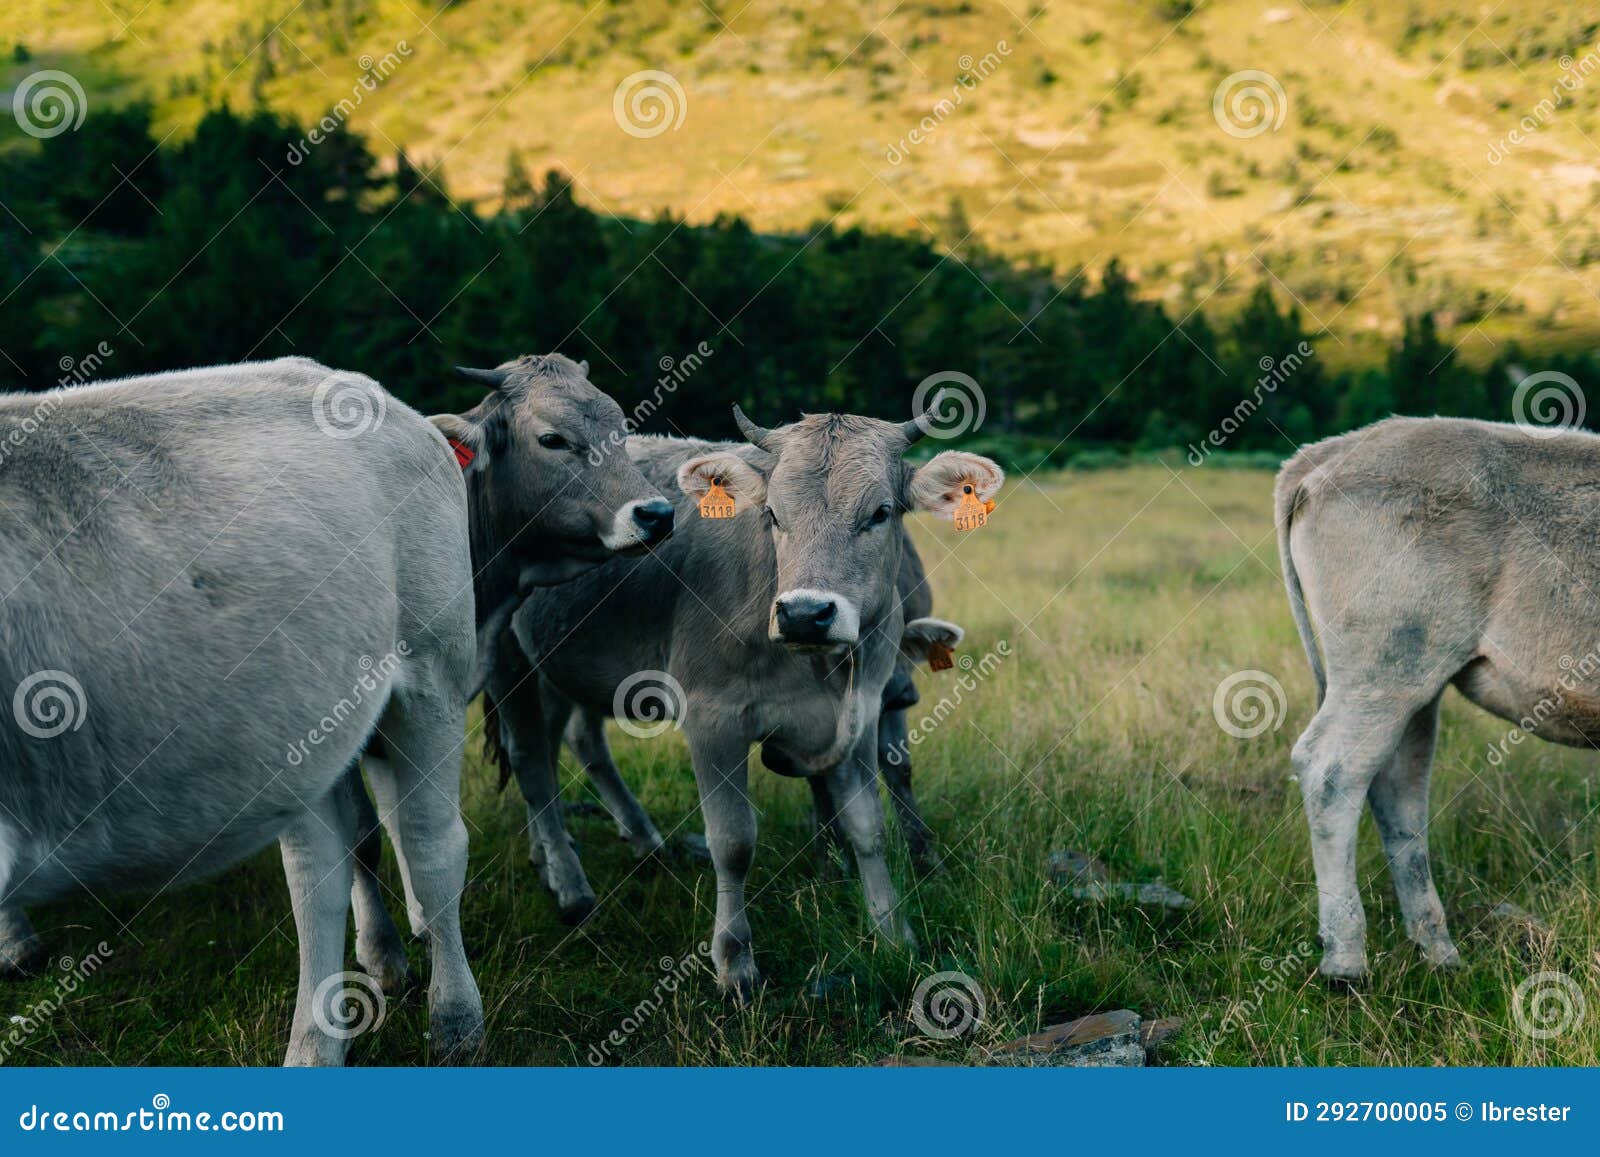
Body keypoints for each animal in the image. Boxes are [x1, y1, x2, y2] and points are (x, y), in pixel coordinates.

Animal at [482, 404, 1003, 994]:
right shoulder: (714, 720)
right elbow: (733, 842)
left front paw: (894, 933)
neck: (815, 662)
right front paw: (735, 962)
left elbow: (868, 826)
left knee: (570, 741)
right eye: (773, 514)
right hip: (506, 658)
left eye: (881, 512)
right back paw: (570, 887)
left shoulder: (861, 716)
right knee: (530, 760)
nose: (805, 614)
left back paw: (612, 846)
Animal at [1277, 414, 1600, 982]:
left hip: (1414, 680)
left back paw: (1438, 950)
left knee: (1398, 788)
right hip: (1385, 660)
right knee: (1331, 771)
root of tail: (1332, 450)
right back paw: (1346, 961)